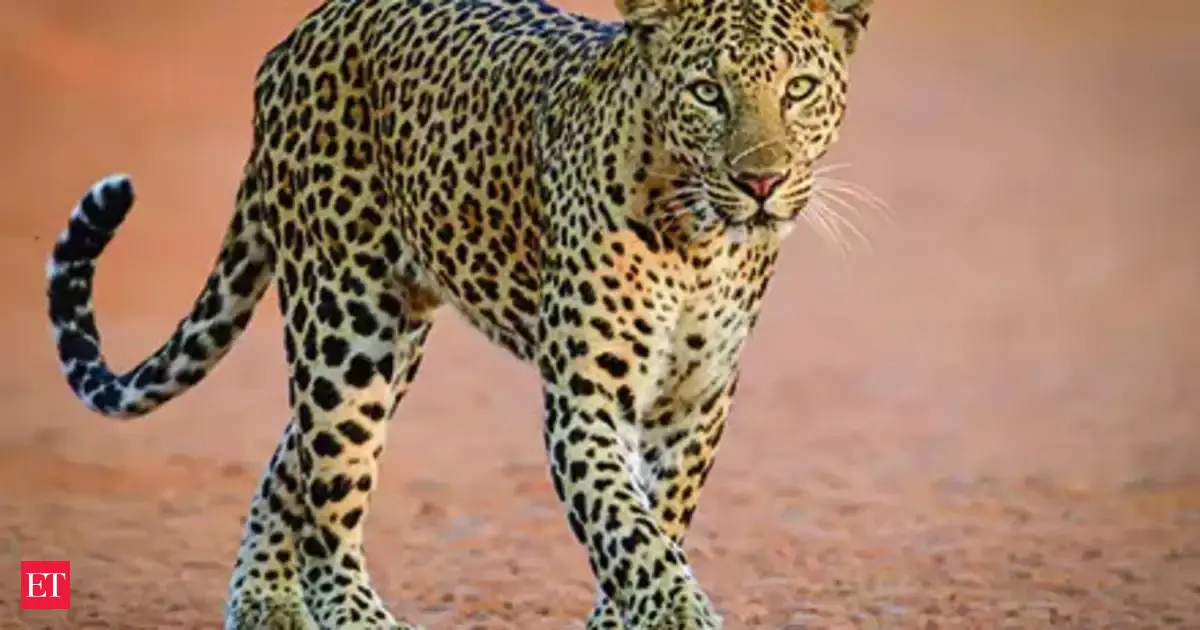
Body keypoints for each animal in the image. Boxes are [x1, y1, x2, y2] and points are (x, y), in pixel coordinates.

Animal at [45, 0, 874, 627]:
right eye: (707, 92)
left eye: (799, 89)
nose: (762, 181)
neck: (701, 242)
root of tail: (296, 37)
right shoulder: (586, 399)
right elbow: (626, 530)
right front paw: (677, 613)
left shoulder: (694, 404)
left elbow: (656, 524)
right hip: (345, 329)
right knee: (328, 504)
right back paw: (355, 617)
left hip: (390, 339)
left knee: (293, 462)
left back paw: (264, 604)